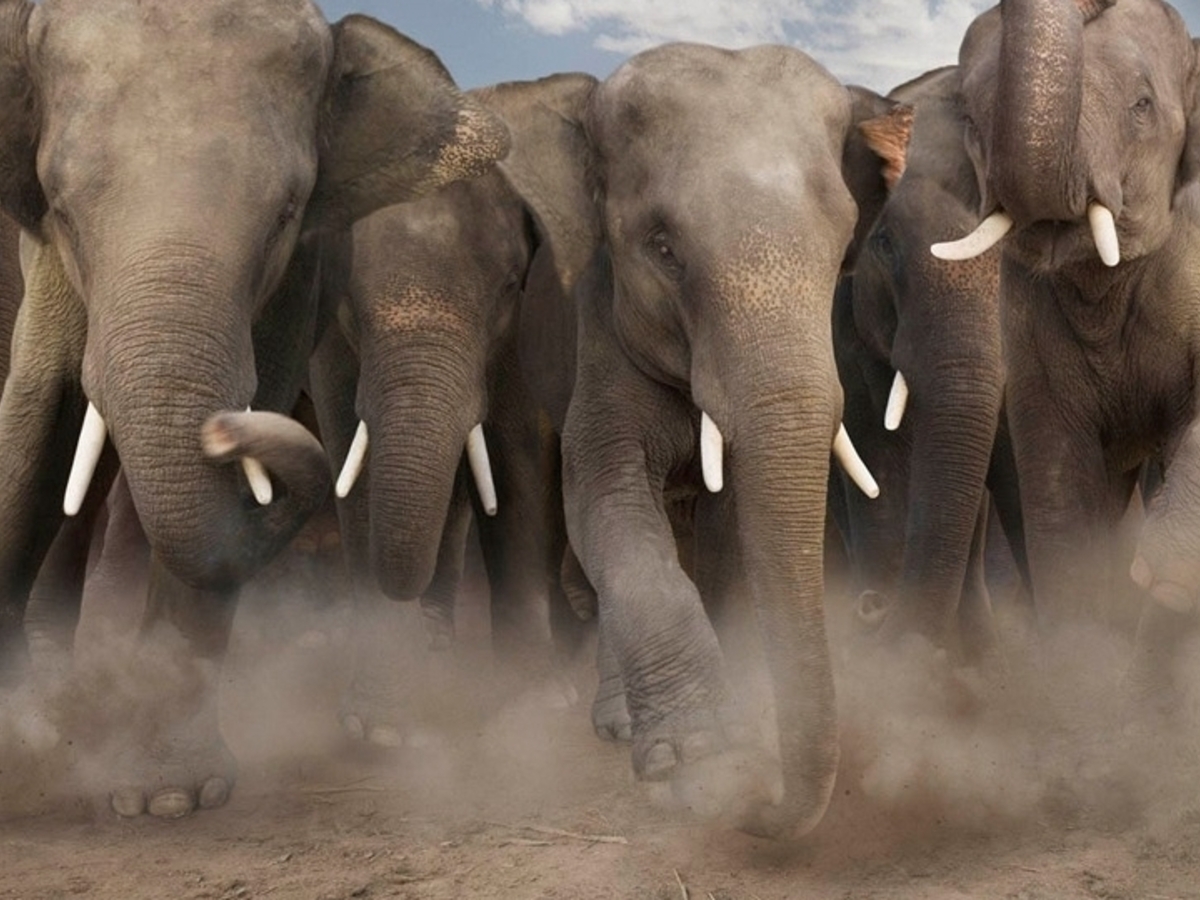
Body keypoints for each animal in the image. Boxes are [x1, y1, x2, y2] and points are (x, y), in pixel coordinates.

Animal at [0, 0, 509, 817]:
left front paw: (167, 800)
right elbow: (38, 424)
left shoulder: (300, 275)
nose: (220, 430)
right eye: (63, 208)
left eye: (284, 215)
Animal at [489, 43, 912, 838]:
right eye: (662, 248)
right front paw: (698, 755)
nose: (757, 814)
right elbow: (607, 499)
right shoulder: (598, 333)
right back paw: (619, 724)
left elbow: (727, 527)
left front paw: (737, 726)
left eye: (843, 243)